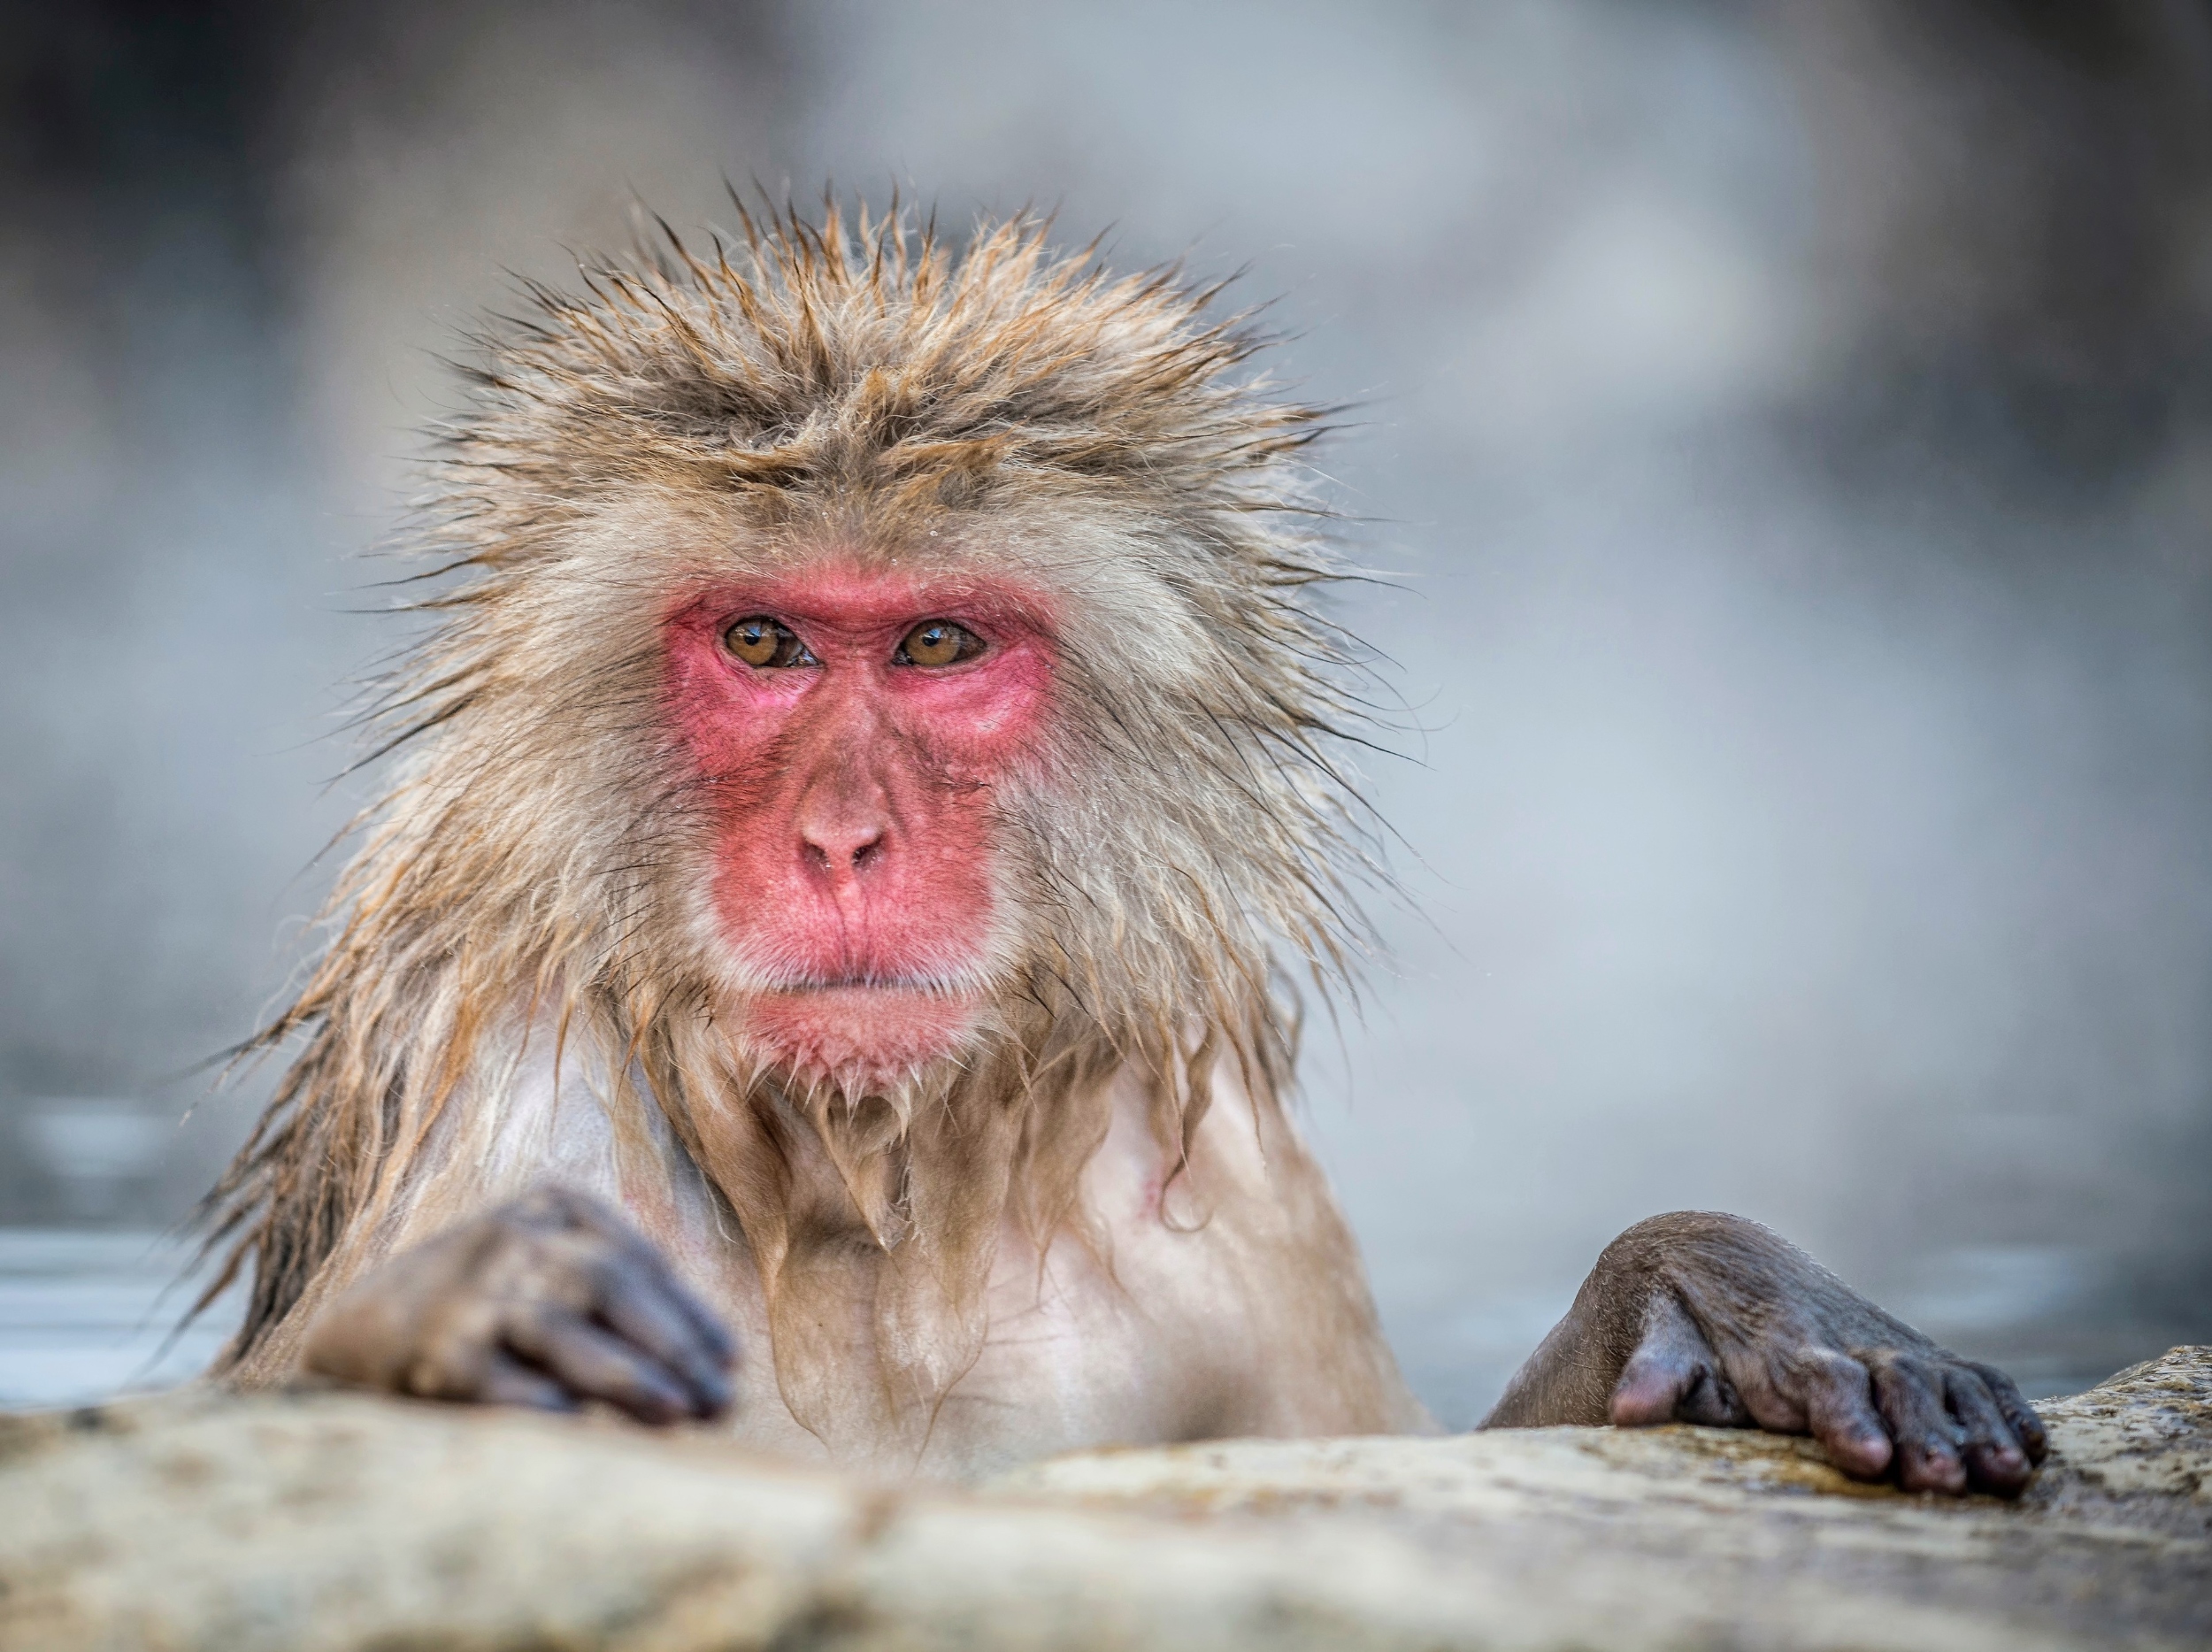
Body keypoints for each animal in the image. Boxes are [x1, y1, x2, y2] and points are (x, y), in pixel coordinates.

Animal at [200, 204, 2046, 1495]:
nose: (842, 839)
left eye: (936, 646)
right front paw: (462, 1304)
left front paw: (1710, 1294)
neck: (870, 1181)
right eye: (767, 643)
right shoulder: (522, 1086)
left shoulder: (1242, 1205)